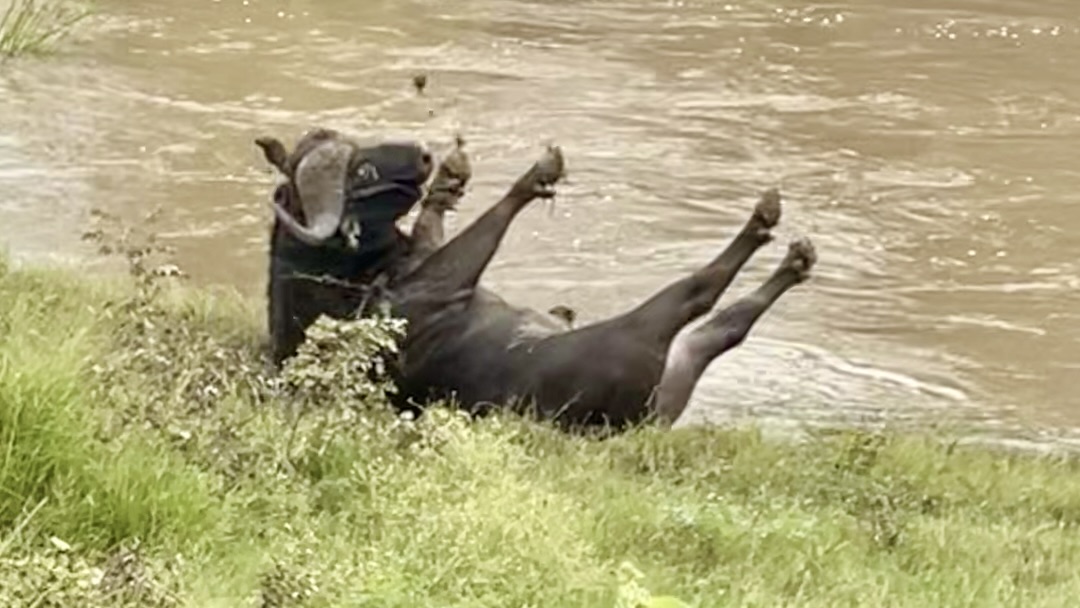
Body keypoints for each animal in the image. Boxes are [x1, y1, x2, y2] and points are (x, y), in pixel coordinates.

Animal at [258, 128, 817, 430]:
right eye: (361, 172)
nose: (424, 155)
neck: (349, 272)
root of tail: (639, 424)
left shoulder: (429, 252)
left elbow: (434, 222)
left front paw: (450, 181)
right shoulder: (445, 281)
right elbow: (494, 218)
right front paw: (535, 174)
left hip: (680, 365)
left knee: (723, 327)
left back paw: (791, 258)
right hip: (645, 335)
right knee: (700, 298)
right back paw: (763, 230)